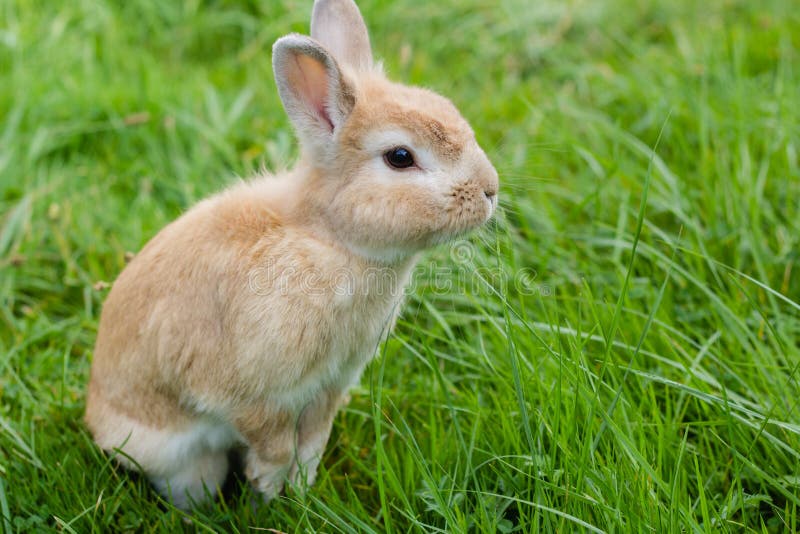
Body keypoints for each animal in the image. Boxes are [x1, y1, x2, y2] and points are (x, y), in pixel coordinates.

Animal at [85, 0, 499, 510]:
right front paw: (269, 493)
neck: (328, 239)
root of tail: (96, 417)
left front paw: (300, 490)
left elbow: (312, 442)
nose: (490, 190)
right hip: (181, 457)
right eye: (400, 157)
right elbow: (275, 446)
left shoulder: (328, 387)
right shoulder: (254, 397)